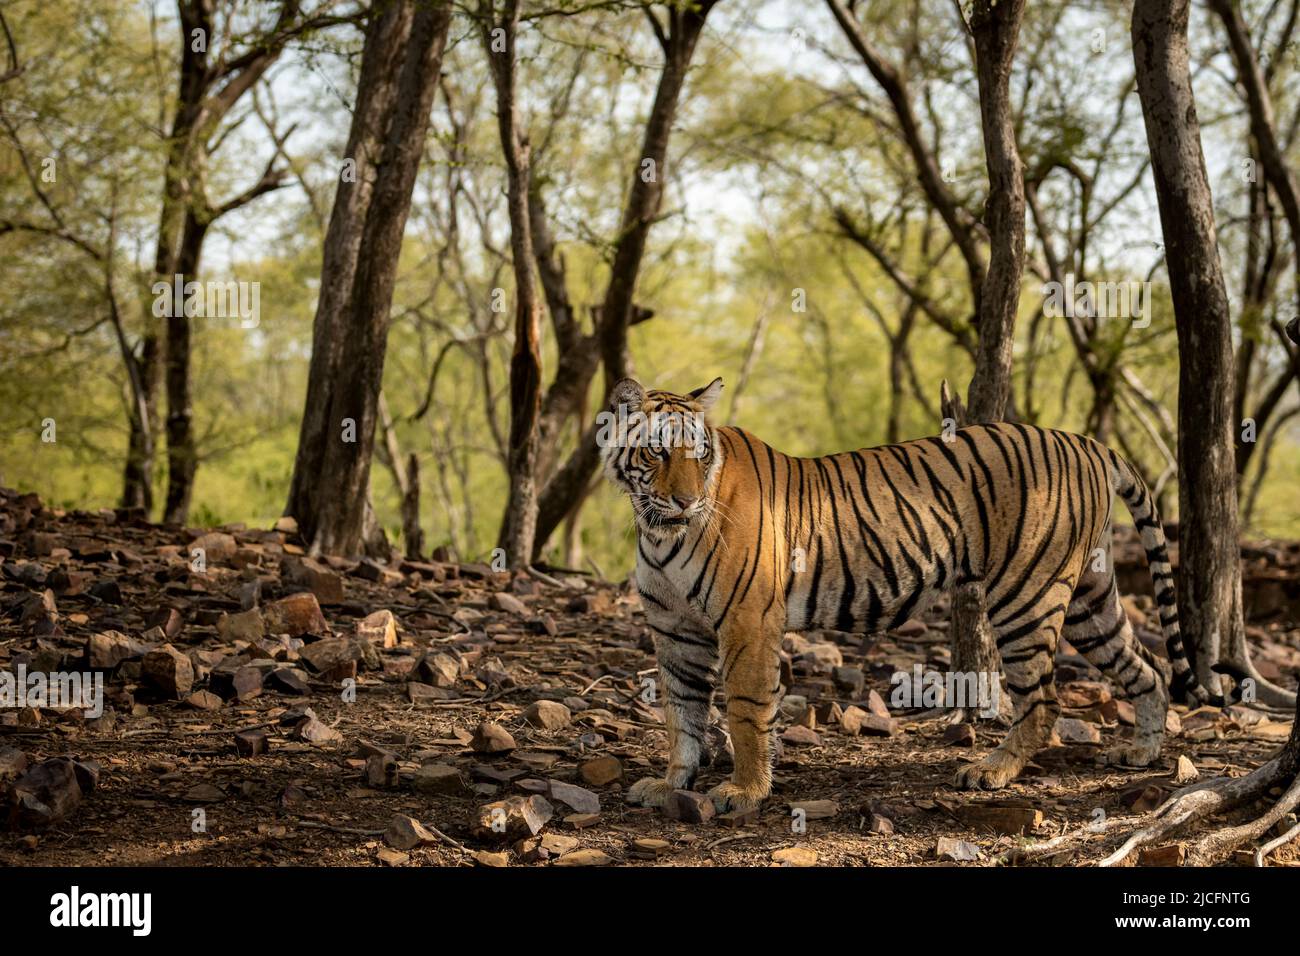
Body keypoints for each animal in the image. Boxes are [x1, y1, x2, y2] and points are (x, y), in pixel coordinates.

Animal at [599, 376, 1214, 812]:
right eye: (657, 452)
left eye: (699, 455)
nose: (686, 501)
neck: (657, 531)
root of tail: (1086, 442)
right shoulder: (676, 631)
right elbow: (681, 714)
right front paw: (671, 783)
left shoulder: (746, 620)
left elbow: (746, 712)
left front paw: (744, 791)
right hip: (1090, 595)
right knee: (1148, 667)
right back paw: (1140, 751)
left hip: (1028, 594)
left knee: (1044, 699)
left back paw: (992, 771)